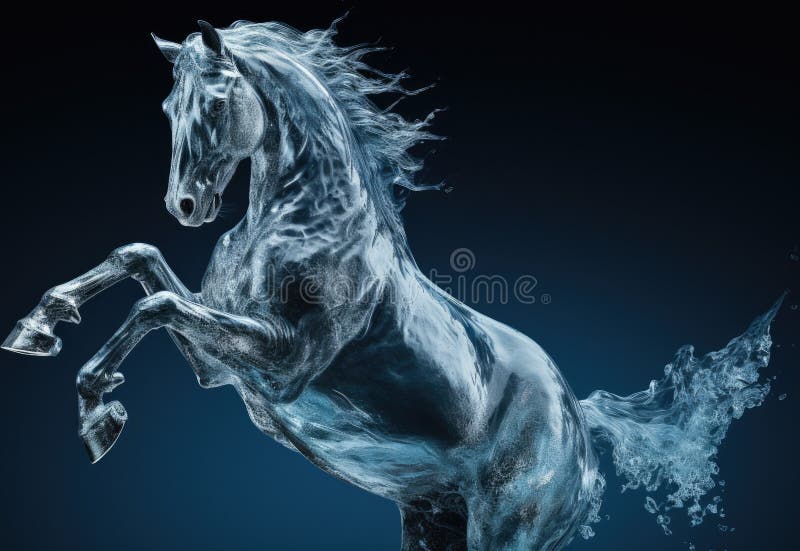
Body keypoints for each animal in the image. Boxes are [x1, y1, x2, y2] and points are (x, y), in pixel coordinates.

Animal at [2, 19, 781, 550]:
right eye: (168, 109)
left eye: (216, 104)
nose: (186, 205)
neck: (304, 219)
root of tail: (580, 427)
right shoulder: (219, 367)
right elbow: (140, 263)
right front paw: (37, 327)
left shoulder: (281, 365)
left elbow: (155, 301)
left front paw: (97, 415)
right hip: (433, 522)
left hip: (508, 534)